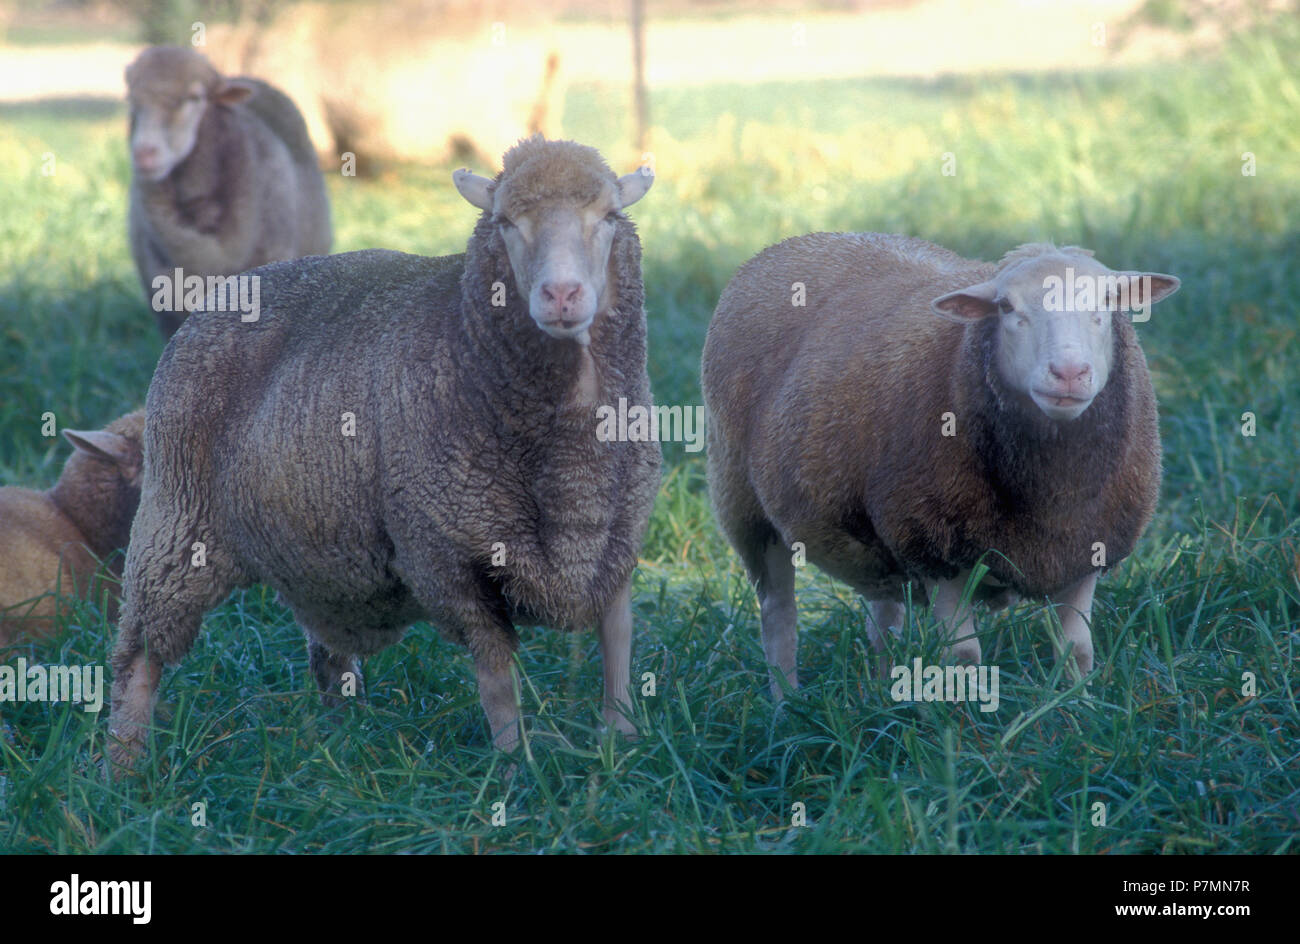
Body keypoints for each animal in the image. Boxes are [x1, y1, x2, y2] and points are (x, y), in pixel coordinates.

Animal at [107, 136, 658, 771]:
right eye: (505, 223)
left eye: (609, 217)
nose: (562, 294)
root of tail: (231, 287)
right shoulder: (447, 559)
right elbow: (498, 678)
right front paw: (514, 765)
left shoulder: (618, 537)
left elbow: (619, 646)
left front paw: (624, 744)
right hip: (173, 526)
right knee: (138, 657)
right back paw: (121, 768)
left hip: (317, 558)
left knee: (326, 658)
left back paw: (343, 746)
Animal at [702, 234, 1179, 697]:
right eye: (1006, 307)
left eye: (1109, 302)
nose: (1068, 372)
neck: (1054, 495)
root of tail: (786, 245)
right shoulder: (938, 549)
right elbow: (963, 658)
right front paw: (965, 718)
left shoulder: (1087, 552)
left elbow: (1076, 652)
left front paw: (1077, 707)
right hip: (744, 506)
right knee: (778, 615)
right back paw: (787, 704)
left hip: (879, 534)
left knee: (883, 618)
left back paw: (883, 695)